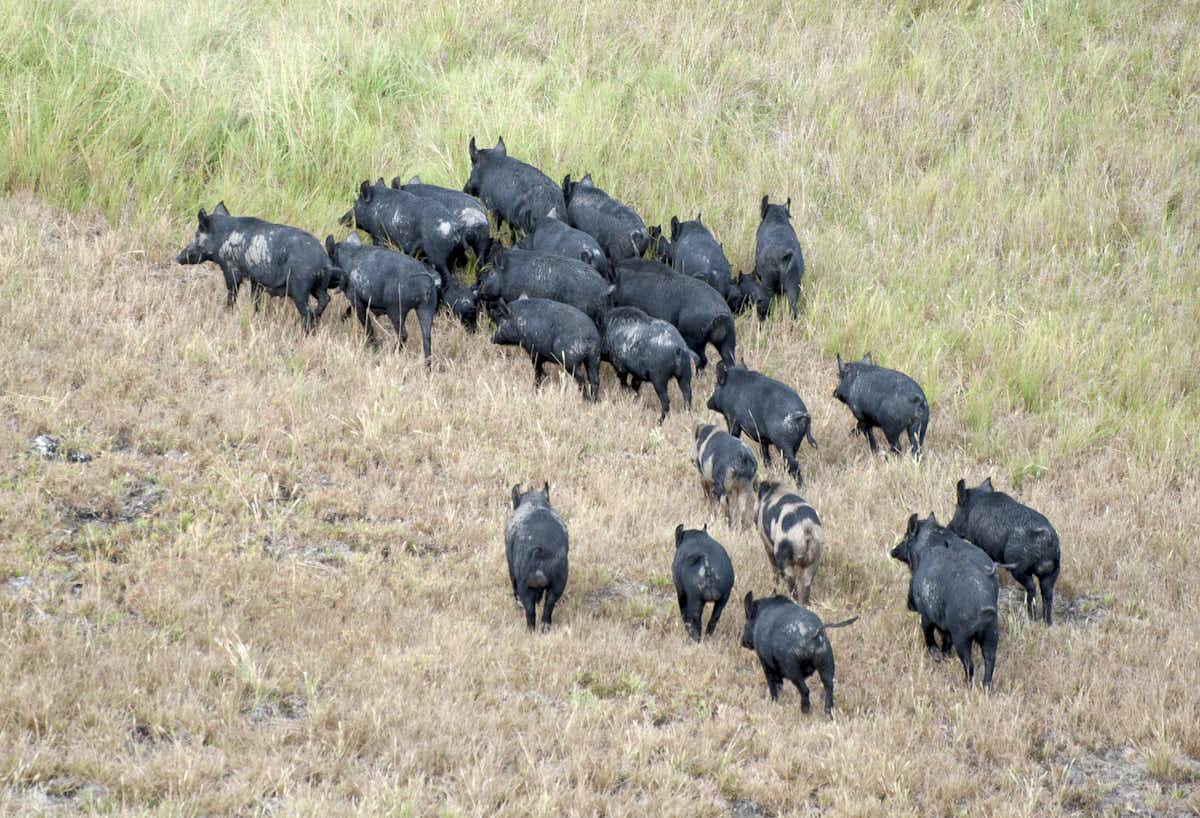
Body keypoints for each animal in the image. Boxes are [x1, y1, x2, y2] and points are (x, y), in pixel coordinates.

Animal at [175, 202, 334, 331]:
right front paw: (256, 316)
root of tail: (323, 261)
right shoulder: (256, 279)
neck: (221, 238)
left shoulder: (231, 269)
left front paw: (227, 312)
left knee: (307, 311)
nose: (178, 258)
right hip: (318, 286)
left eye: (197, 234)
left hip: (300, 286)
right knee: (326, 298)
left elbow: (232, 293)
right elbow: (255, 299)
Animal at [324, 234, 438, 365]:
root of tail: (426, 280)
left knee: (403, 334)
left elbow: (367, 326)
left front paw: (374, 348)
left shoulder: (356, 301)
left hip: (396, 311)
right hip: (426, 311)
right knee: (427, 340)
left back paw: (392, 353)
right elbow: (348, 311)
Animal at [506, 483, 569, 630]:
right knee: (549, 604)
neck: (534, 501)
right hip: (559, 581)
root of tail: (540, 552)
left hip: (524, 584)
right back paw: (545, 627)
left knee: (530, 610)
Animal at [890, 513, 1003, 689]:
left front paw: (937, 657)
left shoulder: (927, 615)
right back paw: (986, 688)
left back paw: (964, 686)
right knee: (990, 661)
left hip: (962, 638)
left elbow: (929, 635)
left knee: (969, 665)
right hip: (992, 635)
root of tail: (984, 609)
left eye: (906, 535)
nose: (892, 551)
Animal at [948, 477, 1062, 625]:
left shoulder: (981, 545)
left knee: (1032, 589)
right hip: (1052, 573)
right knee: (1047, 596)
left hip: (1020, 569)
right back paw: (1047, 622)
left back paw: (1030, 617)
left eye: (957, 507)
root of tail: (1047, 541)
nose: (948, 527)